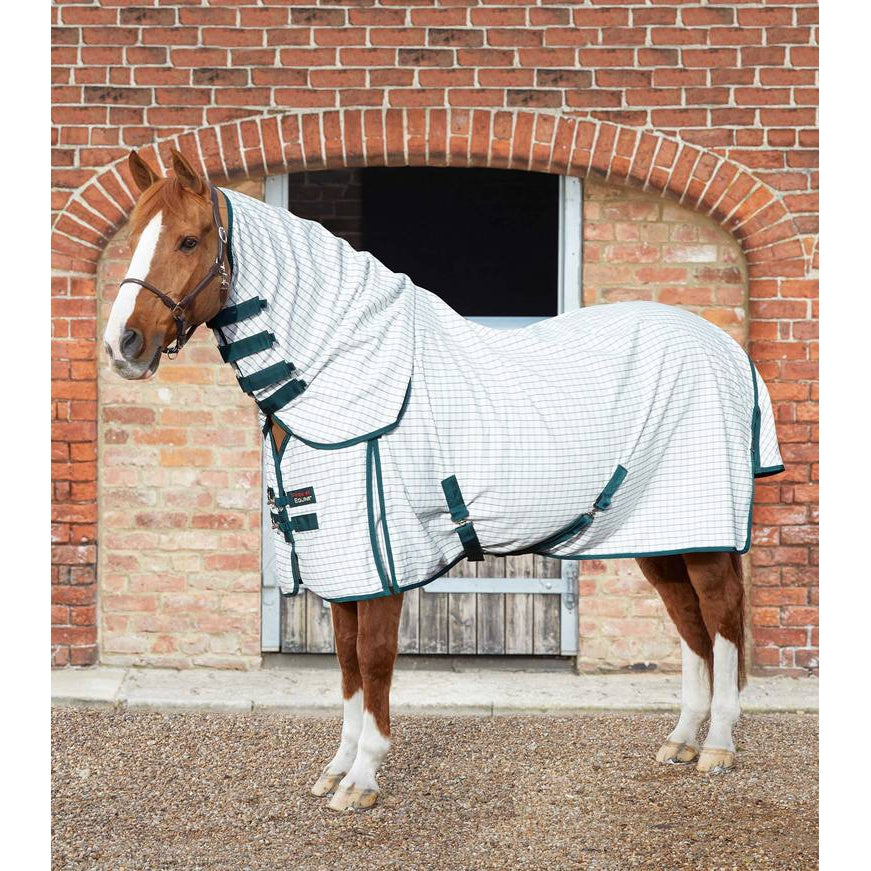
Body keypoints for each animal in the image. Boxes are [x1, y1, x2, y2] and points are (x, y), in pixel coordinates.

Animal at [104, 148, 783, 812]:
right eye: (134, 235)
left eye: (189, 240)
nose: (122, 345)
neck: (343, 371)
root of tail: (724, 348)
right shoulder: (342, 563)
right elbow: (345, 663)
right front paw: (337, 769)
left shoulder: (381, 560)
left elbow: (373, 659)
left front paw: (363, 778)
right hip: (656, 533)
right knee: (690, 623)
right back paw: (681, 742)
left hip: (701, 531)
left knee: (721, 617)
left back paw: (718, 746)